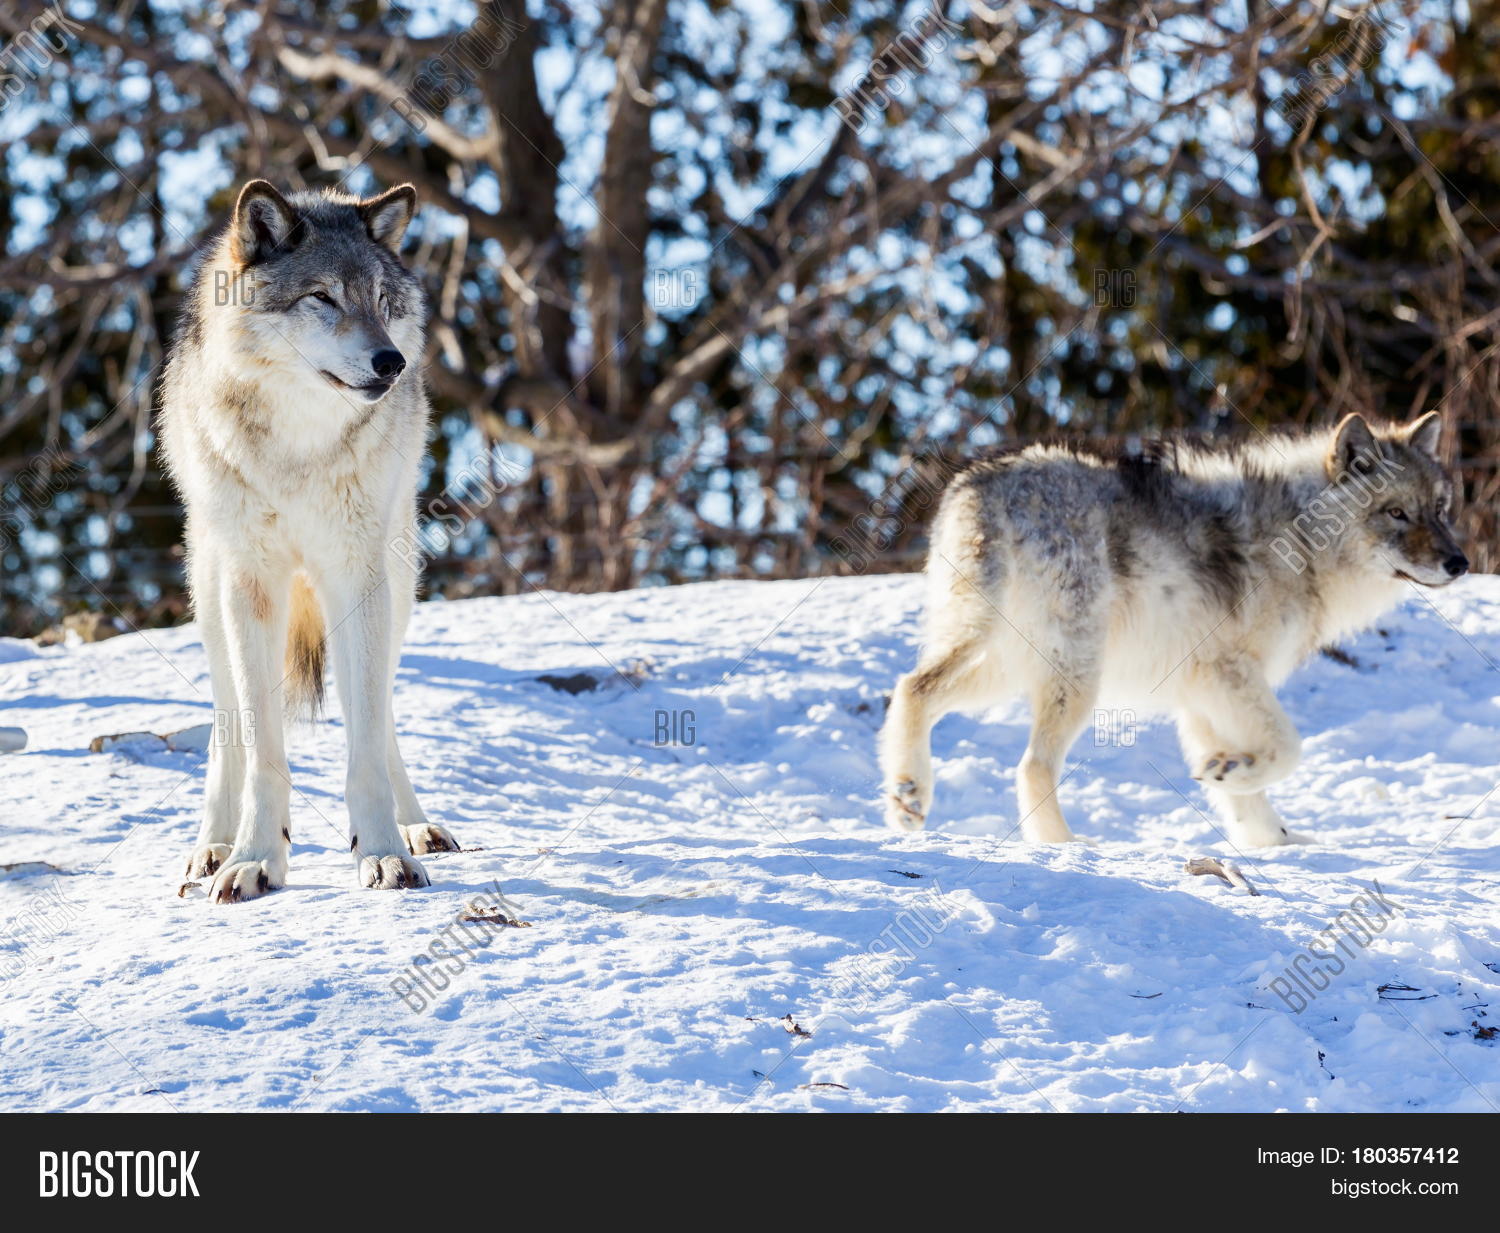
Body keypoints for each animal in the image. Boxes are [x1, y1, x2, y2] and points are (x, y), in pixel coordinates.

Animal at [159, 180, 458, 903]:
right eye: (321, 297)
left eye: (381, 301)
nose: (391, 362)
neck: (299, 448)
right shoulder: (251, 582)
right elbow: (263, 750)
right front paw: (252, 858)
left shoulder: (356, 575)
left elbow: (366, 741)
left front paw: (383, 852)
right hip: (210, 590)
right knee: (227, 725)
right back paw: (210, 846)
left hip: (397, 584)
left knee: (380, 713)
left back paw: (416, 825)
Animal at [879, 413, 1467, 848]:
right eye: (1396, 513)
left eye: (1440, 509)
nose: (1459, 563)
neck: (1299, 539)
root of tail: (987, 482)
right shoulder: (1226, 671)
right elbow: (1288, 748)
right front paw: (1239, 777)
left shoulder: (1201, 695)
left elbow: (1247, 797)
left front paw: (1271, 837)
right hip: (1076, 676)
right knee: (1030, 764)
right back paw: (1065, 846)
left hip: (1006, 668)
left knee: (912, 687)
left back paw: (908, 796)